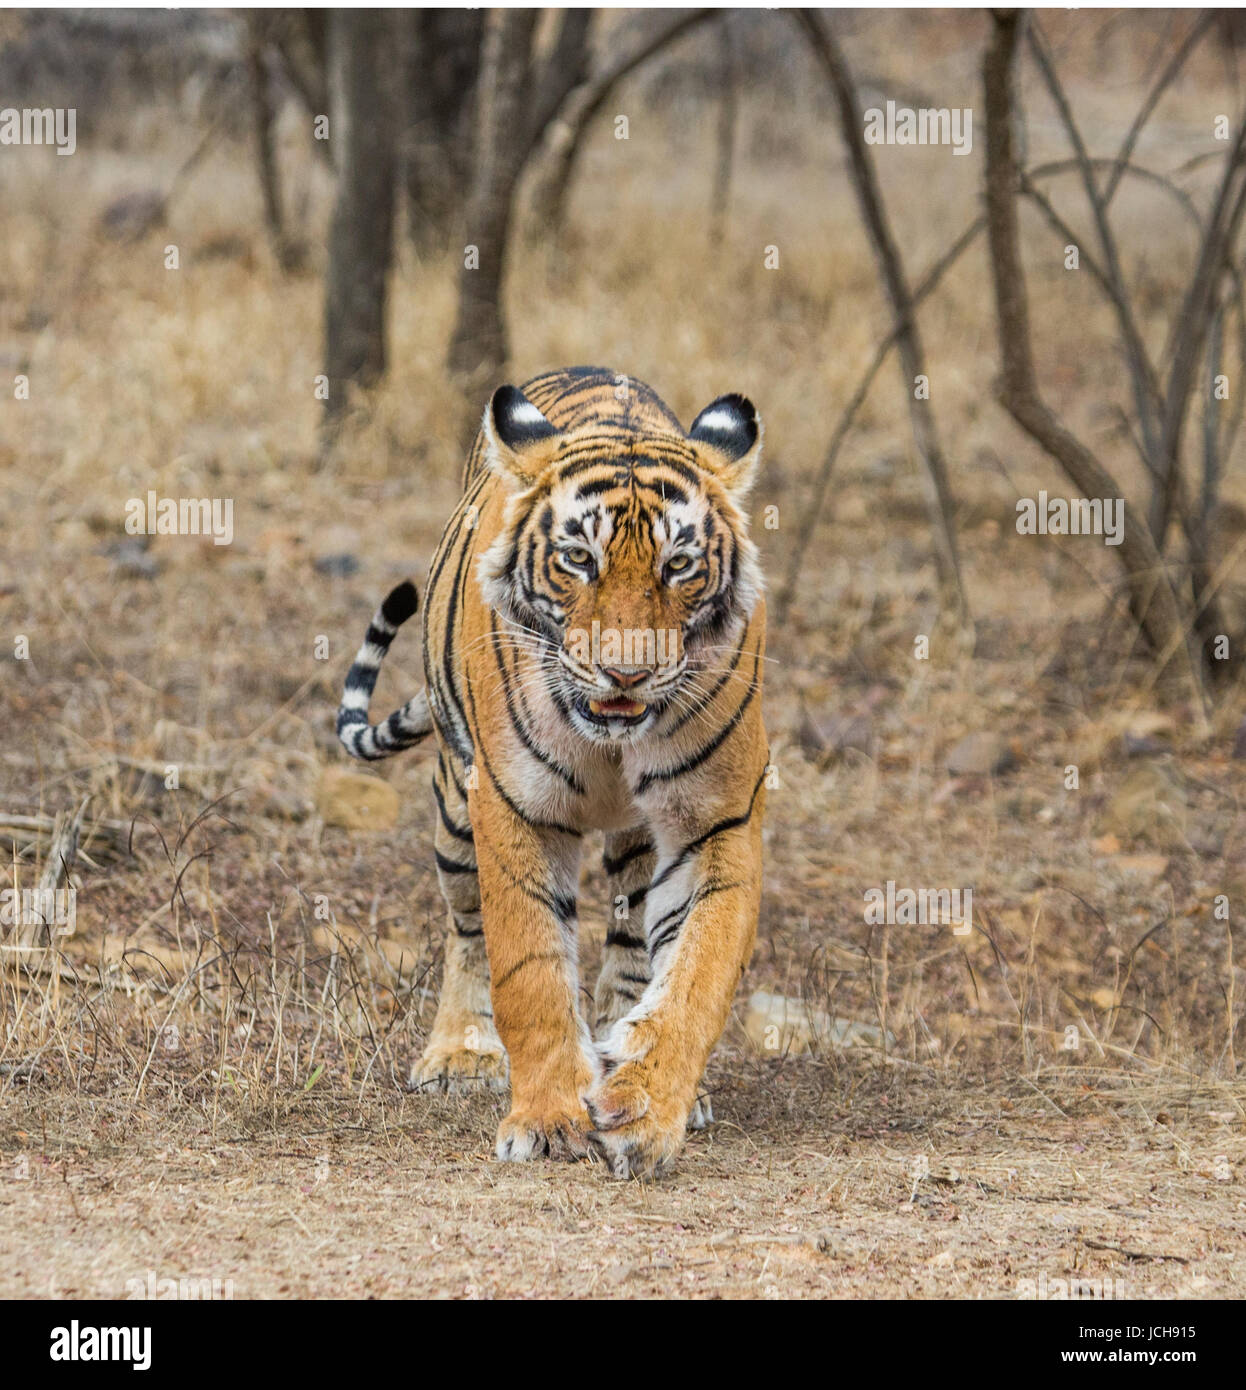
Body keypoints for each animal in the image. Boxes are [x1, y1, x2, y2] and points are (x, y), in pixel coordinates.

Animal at [337, 366, 768, 1179]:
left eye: (679, 565)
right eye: (578, 560)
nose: (626, 674)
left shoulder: (715, 824)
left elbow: (696, 977)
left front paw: (644, 1108)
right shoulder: (516, 808)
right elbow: (528, 968)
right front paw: (546, 1121)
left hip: (637, 844)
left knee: (631, 945)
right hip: (454, 809)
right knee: (467, 929)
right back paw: (460, 1053)